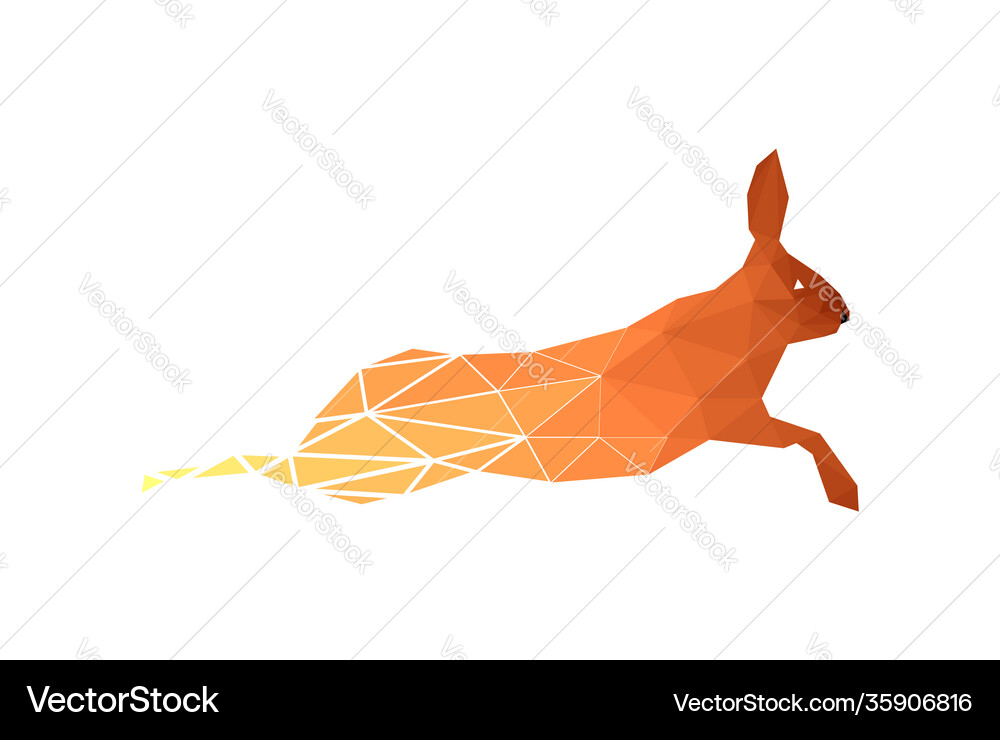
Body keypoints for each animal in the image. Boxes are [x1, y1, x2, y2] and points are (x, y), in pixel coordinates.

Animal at [144, 151, 857, 511]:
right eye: (801, 283)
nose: (848, 315)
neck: (736, 332)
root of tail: (329, 413)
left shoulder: (740, 421)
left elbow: (805, 433)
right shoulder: (729, 420)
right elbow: (808, 436)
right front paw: (846, 497)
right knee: (274, 472)